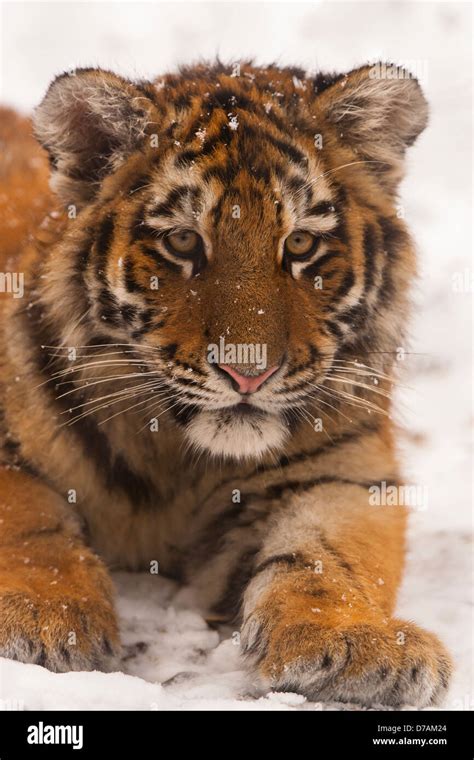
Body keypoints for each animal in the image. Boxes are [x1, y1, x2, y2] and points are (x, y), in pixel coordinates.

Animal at [0, 60, 452, 707]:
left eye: (300, 243)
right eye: (183, 241)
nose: (248, 371)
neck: (178, 458)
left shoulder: (340, 473)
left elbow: (328, 558)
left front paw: (357, 646)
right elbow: (30, 527)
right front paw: (44, 619)